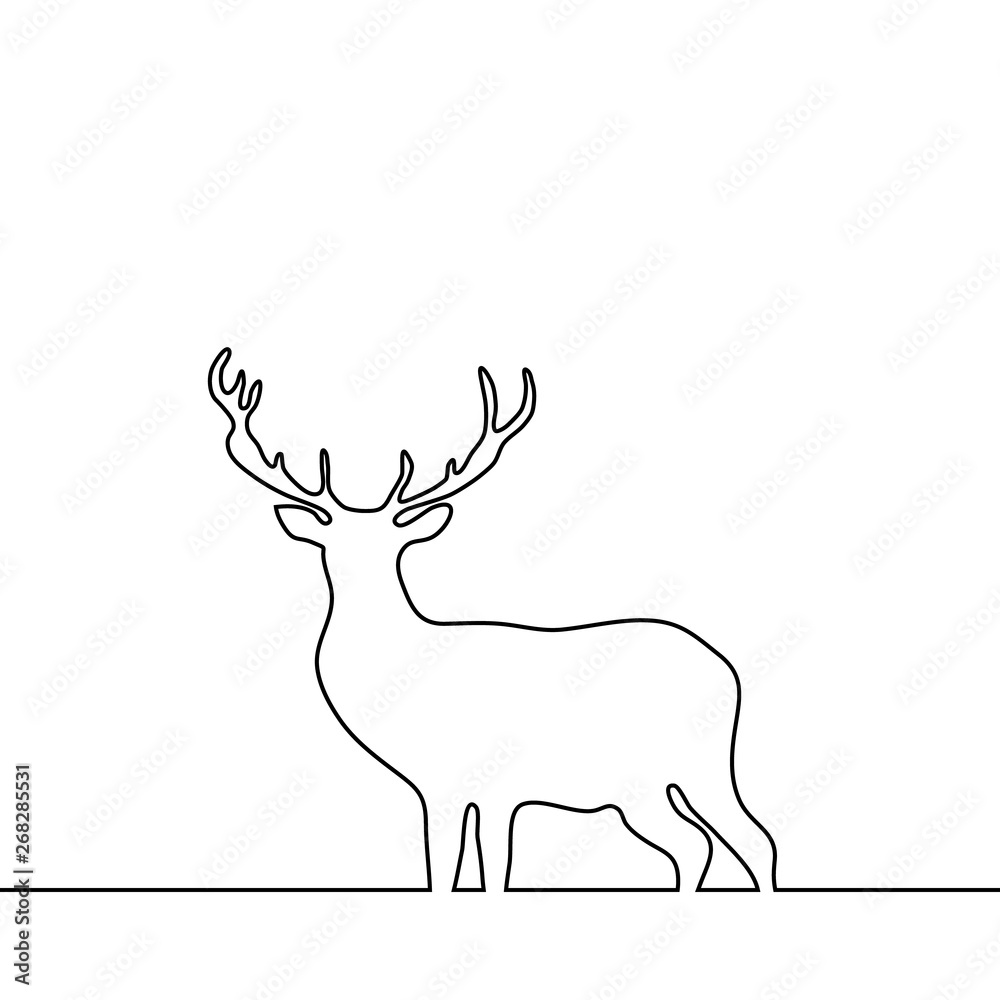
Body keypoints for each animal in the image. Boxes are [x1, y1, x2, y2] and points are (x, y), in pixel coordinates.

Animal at [208, 347, 777, 891]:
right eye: (329, 540)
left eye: (394, 545)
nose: (351, 575)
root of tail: (730, 674)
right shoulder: (460, 789)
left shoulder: (482, 782)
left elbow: (477, 875)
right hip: (644, 787)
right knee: (694, 848)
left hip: (696, 766)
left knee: (753, 841)